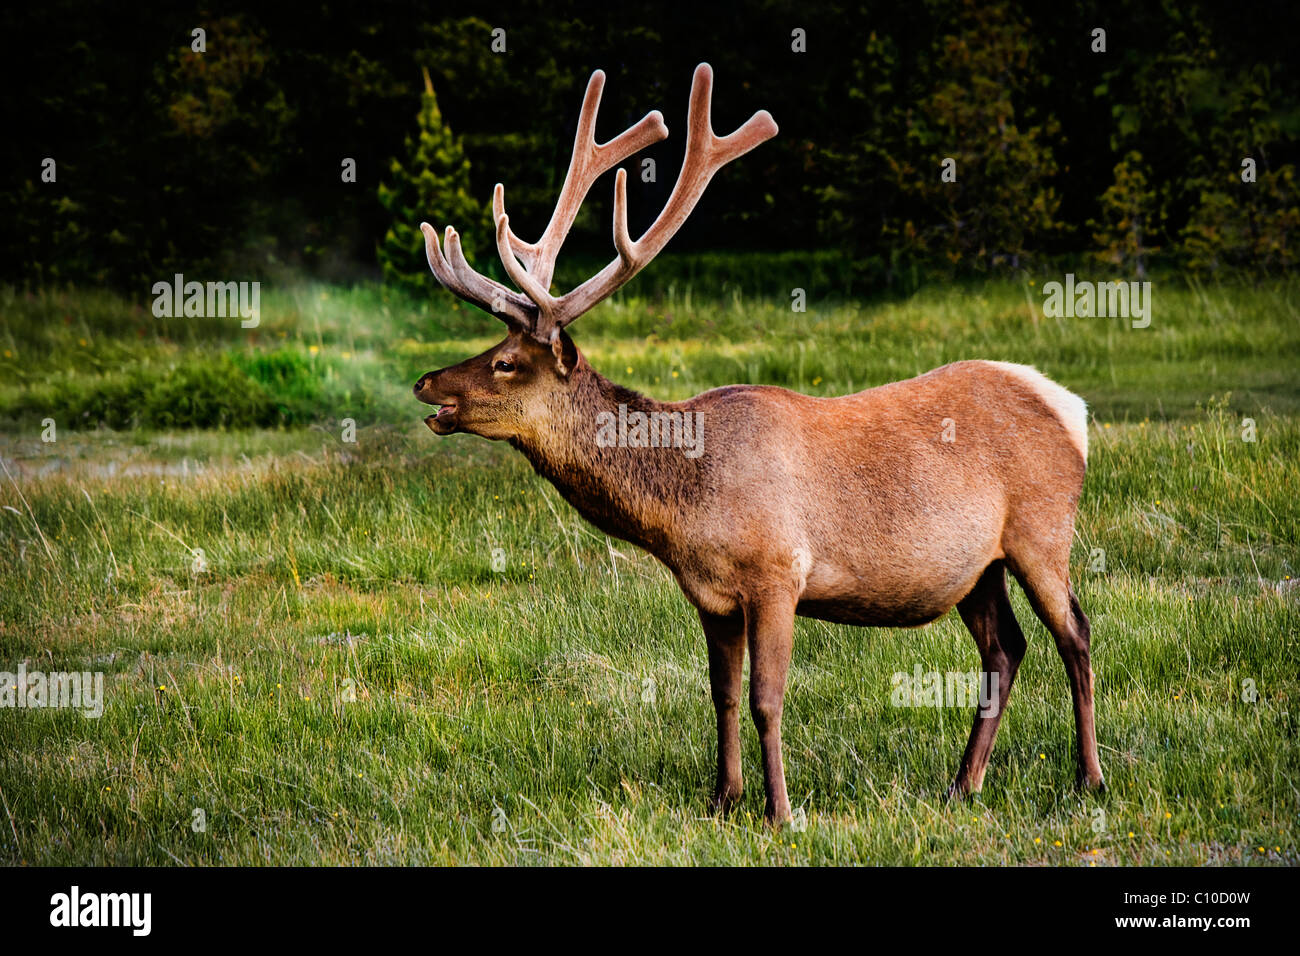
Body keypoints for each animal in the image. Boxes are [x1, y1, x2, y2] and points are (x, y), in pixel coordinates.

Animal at [412, 63, 1104, 826]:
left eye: (507, 362)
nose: (426, 381)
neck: (685, 510)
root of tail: (1069, 406)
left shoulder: (778, 571)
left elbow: (767, 698)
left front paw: (780, 811)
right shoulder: (711, 596)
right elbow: (720, 695)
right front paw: (723, 799)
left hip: (1043, 528)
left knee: (1075, 634)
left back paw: (1088, 779)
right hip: (977, 566)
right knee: (1005, 649)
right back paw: (962, 784)